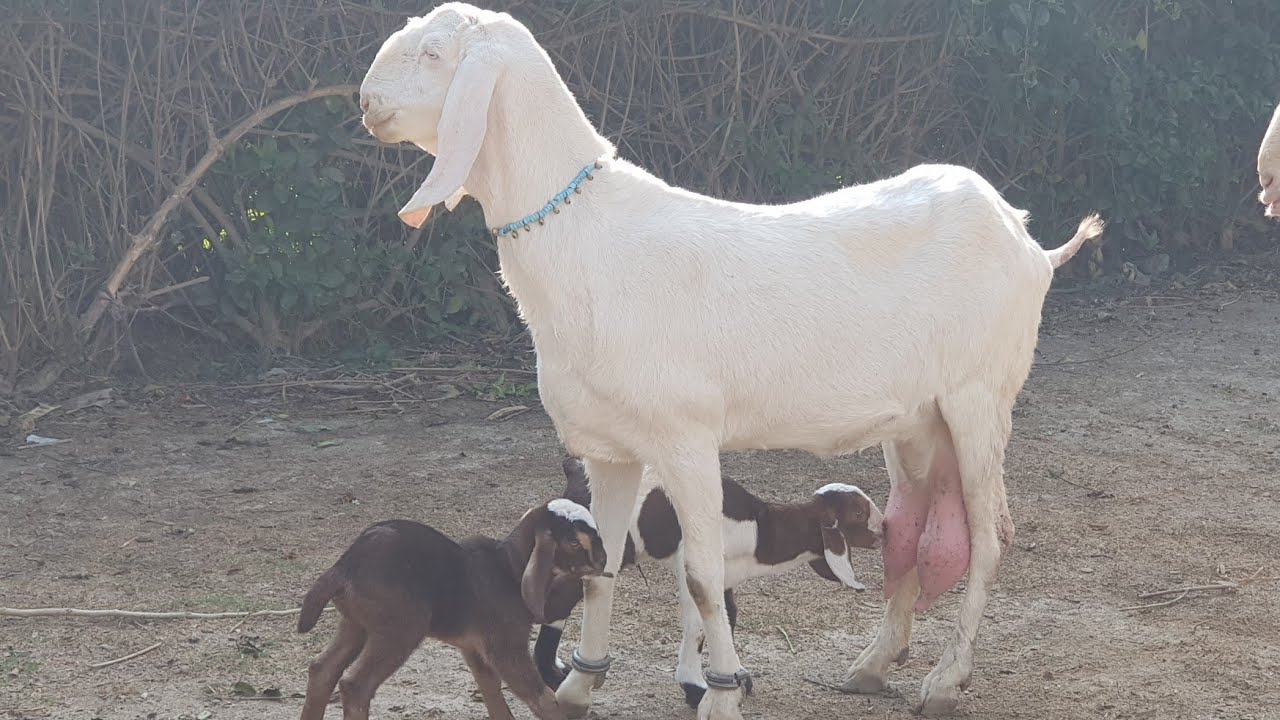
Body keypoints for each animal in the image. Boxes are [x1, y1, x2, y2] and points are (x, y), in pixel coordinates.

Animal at [295, 499, 606, 720]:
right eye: (574, 541)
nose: (603, 561)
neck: (508, 569)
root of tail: (344, 567)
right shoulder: (505, 645)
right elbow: (540, 697)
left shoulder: (473, 648)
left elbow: (492, 692)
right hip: (400, 629)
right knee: (355, 685)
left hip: (356, 624)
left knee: (322, 669)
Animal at [535, 457, 884, 708]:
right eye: (858, 512)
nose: (885, 528)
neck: (759, 530)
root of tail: (576, 471)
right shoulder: (692, 562)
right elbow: (697, 623)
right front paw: (697, 689)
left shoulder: (725, 575)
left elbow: (727, 617)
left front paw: (734, 677)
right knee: (560, 596)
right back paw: (553, 676)